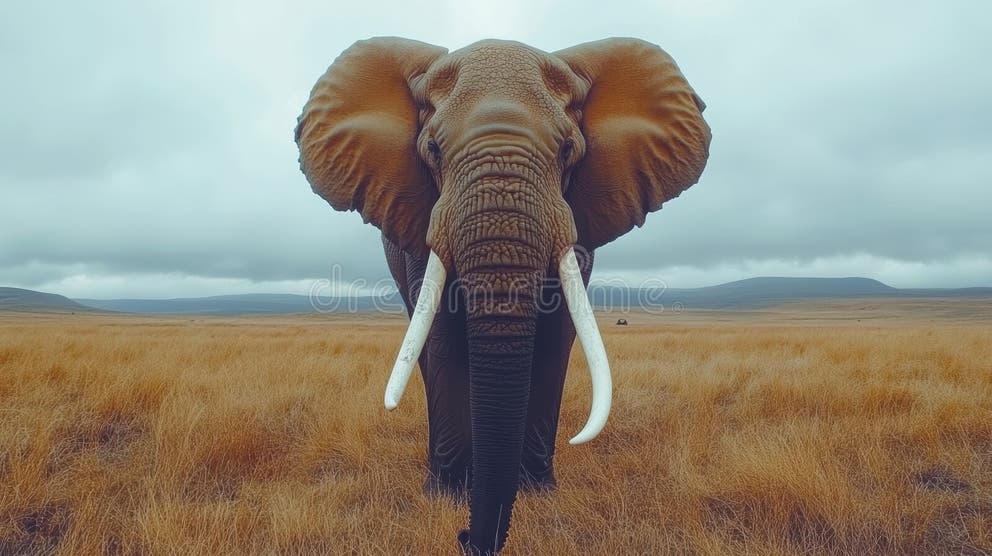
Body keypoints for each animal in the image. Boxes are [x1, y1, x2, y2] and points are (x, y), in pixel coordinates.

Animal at [295, 37, 710, 554]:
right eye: (432, 149)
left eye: (569, 150)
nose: (465, 537)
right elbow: (444, 341)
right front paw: (448, 498)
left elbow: (554, 340)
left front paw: (537, 493)